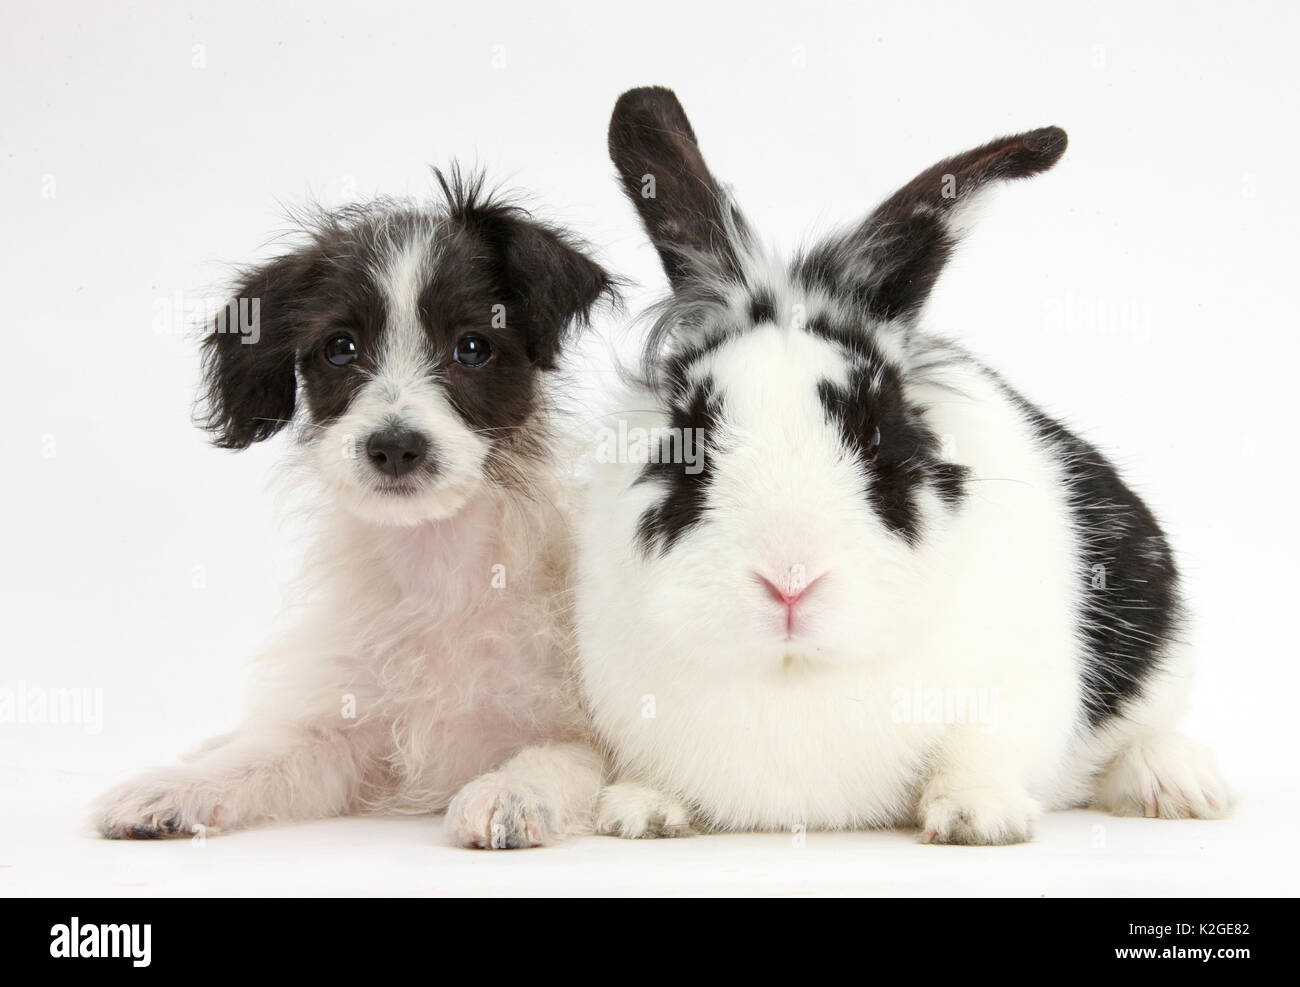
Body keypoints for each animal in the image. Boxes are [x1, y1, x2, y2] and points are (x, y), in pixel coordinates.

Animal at [574, 86, 1229, 845]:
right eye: (689, 443)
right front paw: (643, 810)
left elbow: (977, 753)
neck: (795, 670)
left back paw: (1178, 785)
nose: (789, 580)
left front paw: (977, 818)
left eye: (880, 435)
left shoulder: (1016, 692)